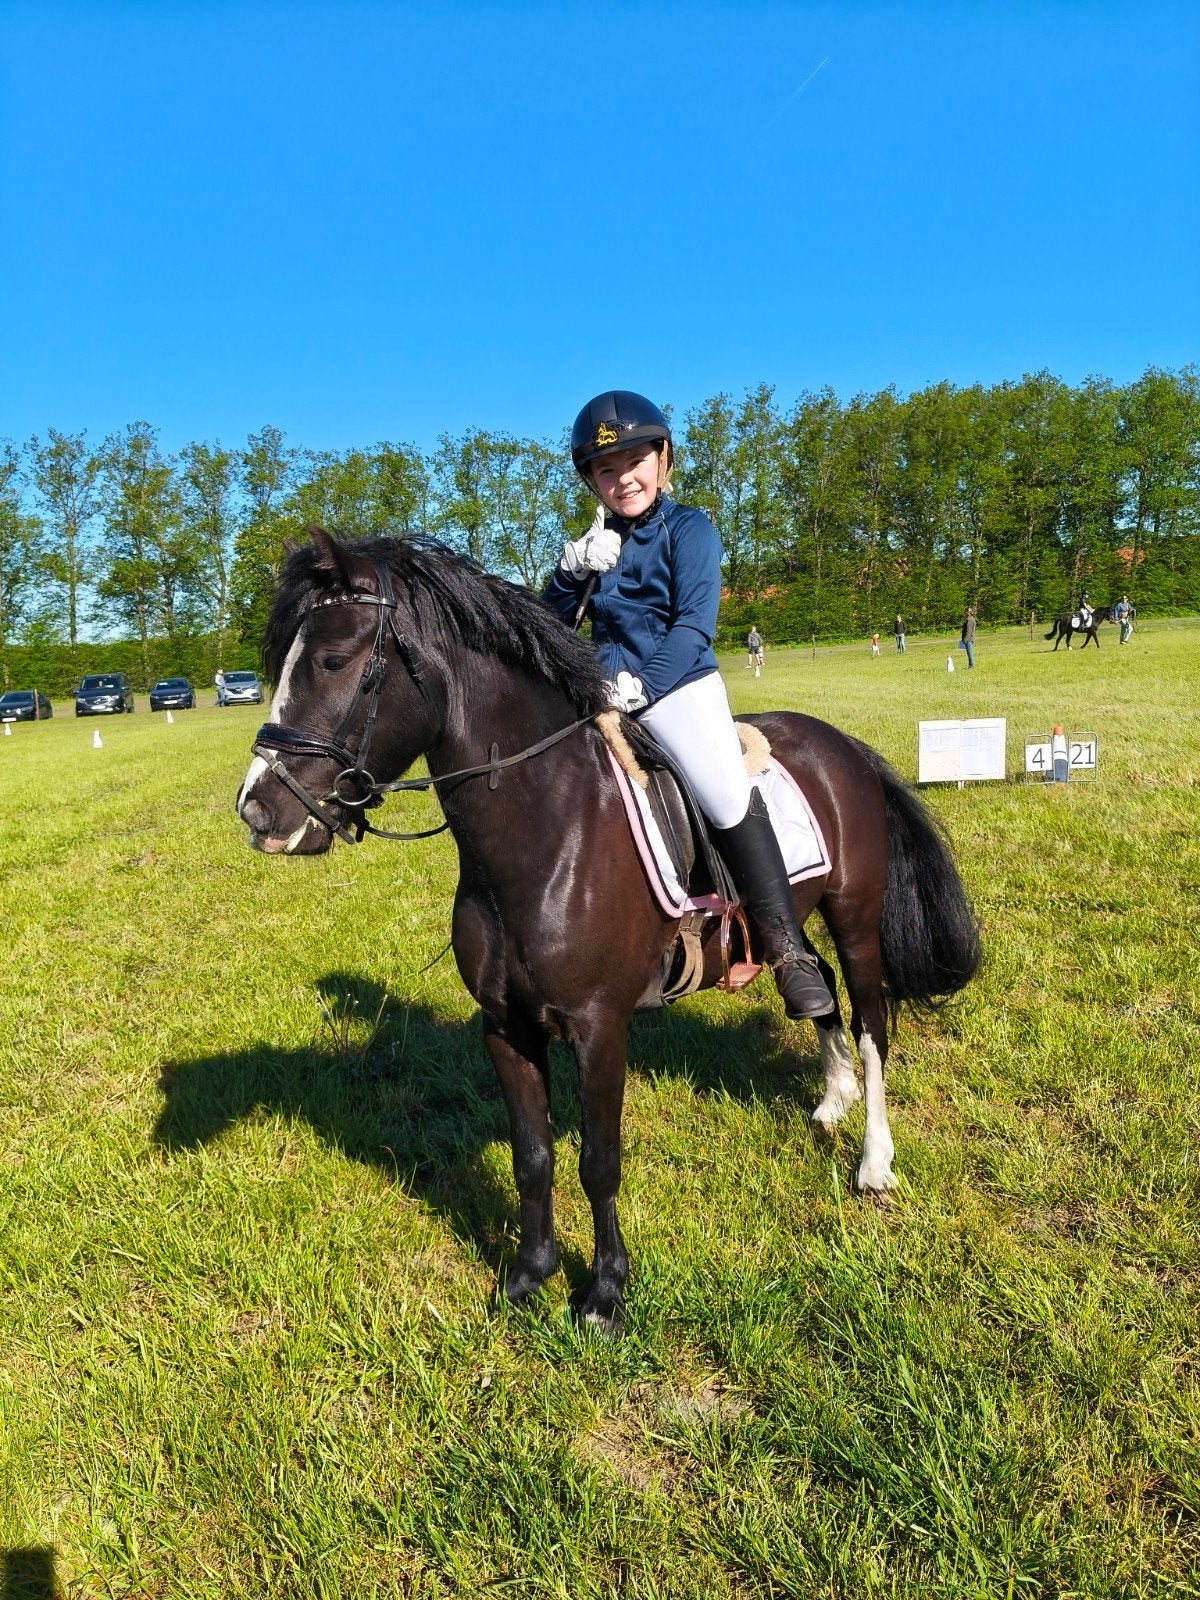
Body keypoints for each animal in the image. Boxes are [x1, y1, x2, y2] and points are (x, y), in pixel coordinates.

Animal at [237, 530, 981, 1334]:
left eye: (333, 660)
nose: (258, 813)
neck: (546, 829)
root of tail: (840, 744)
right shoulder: (506, 1028)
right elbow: (532, 1157)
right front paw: (529, 1275)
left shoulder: (598, 1028)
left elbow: (598, 1161)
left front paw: (603, 1294)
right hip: (788, 917)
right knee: (817, 990)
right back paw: (830, 1100)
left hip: (855, 918)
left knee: (873, 1022)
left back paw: (874, 1162)